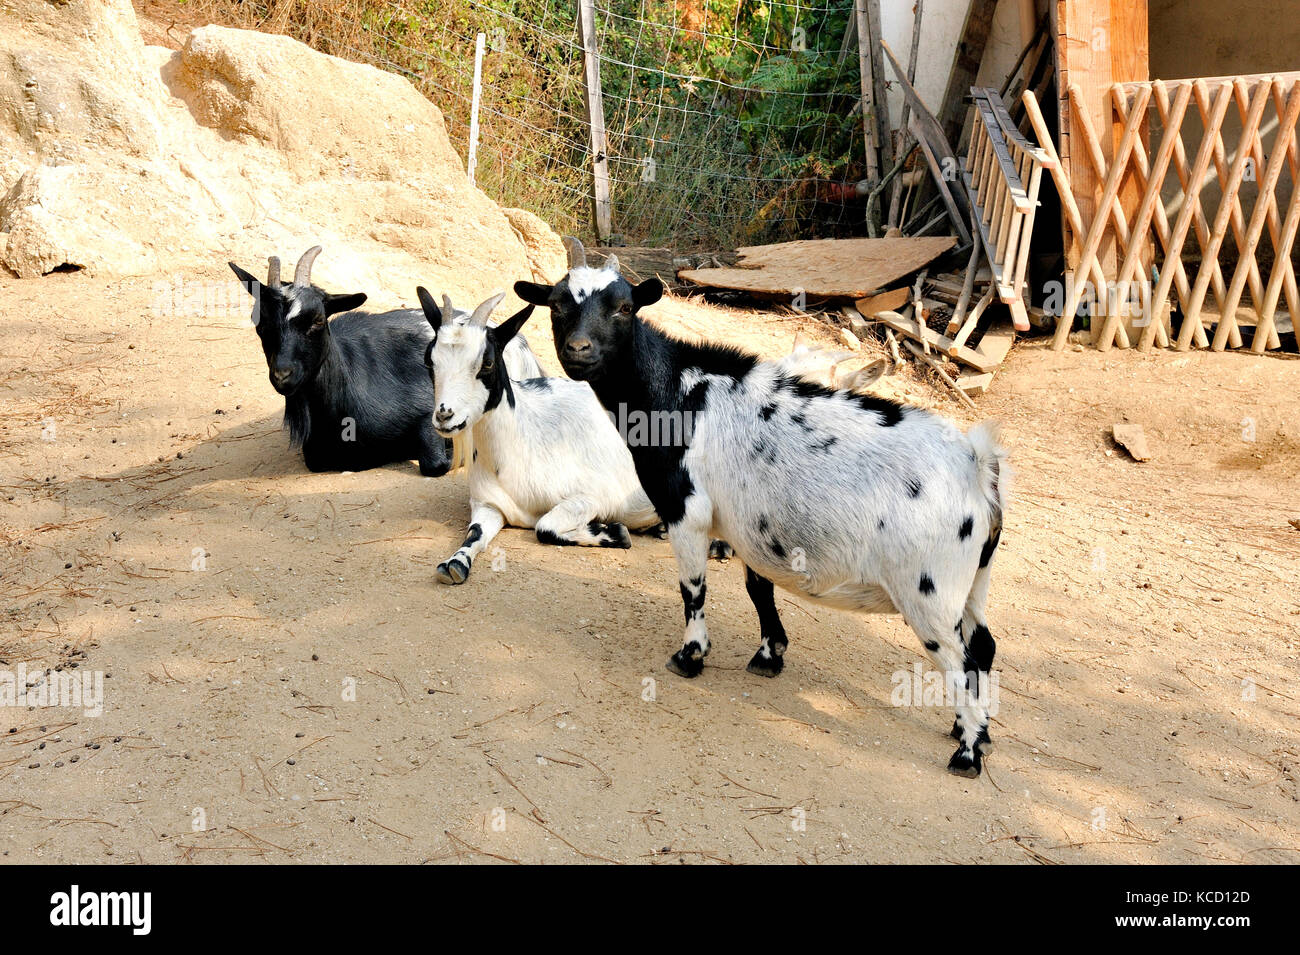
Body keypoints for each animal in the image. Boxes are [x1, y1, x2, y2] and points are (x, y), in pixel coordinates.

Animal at [414, 286, 661, 584]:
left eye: (487, 362)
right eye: (429, 360)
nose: (444, 415)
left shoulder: (593, 496)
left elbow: (545, 527)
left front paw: (615, 532)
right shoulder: (489, 505)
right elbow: (474, 534)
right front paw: (455, 563)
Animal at [516, 239, 1010, 777]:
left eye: (624, 308)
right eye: (557, 304)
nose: (578, 350)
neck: (679, 393)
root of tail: (976, 465)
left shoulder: (685, 509)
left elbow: (693, 588)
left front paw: (690, 656)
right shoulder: (748, 523)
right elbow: (759, 588)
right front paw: (769, 655)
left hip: (929, 588)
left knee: (960, 660)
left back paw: (966, 753)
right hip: (975, 581)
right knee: (984, 646)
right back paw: (973, 733)